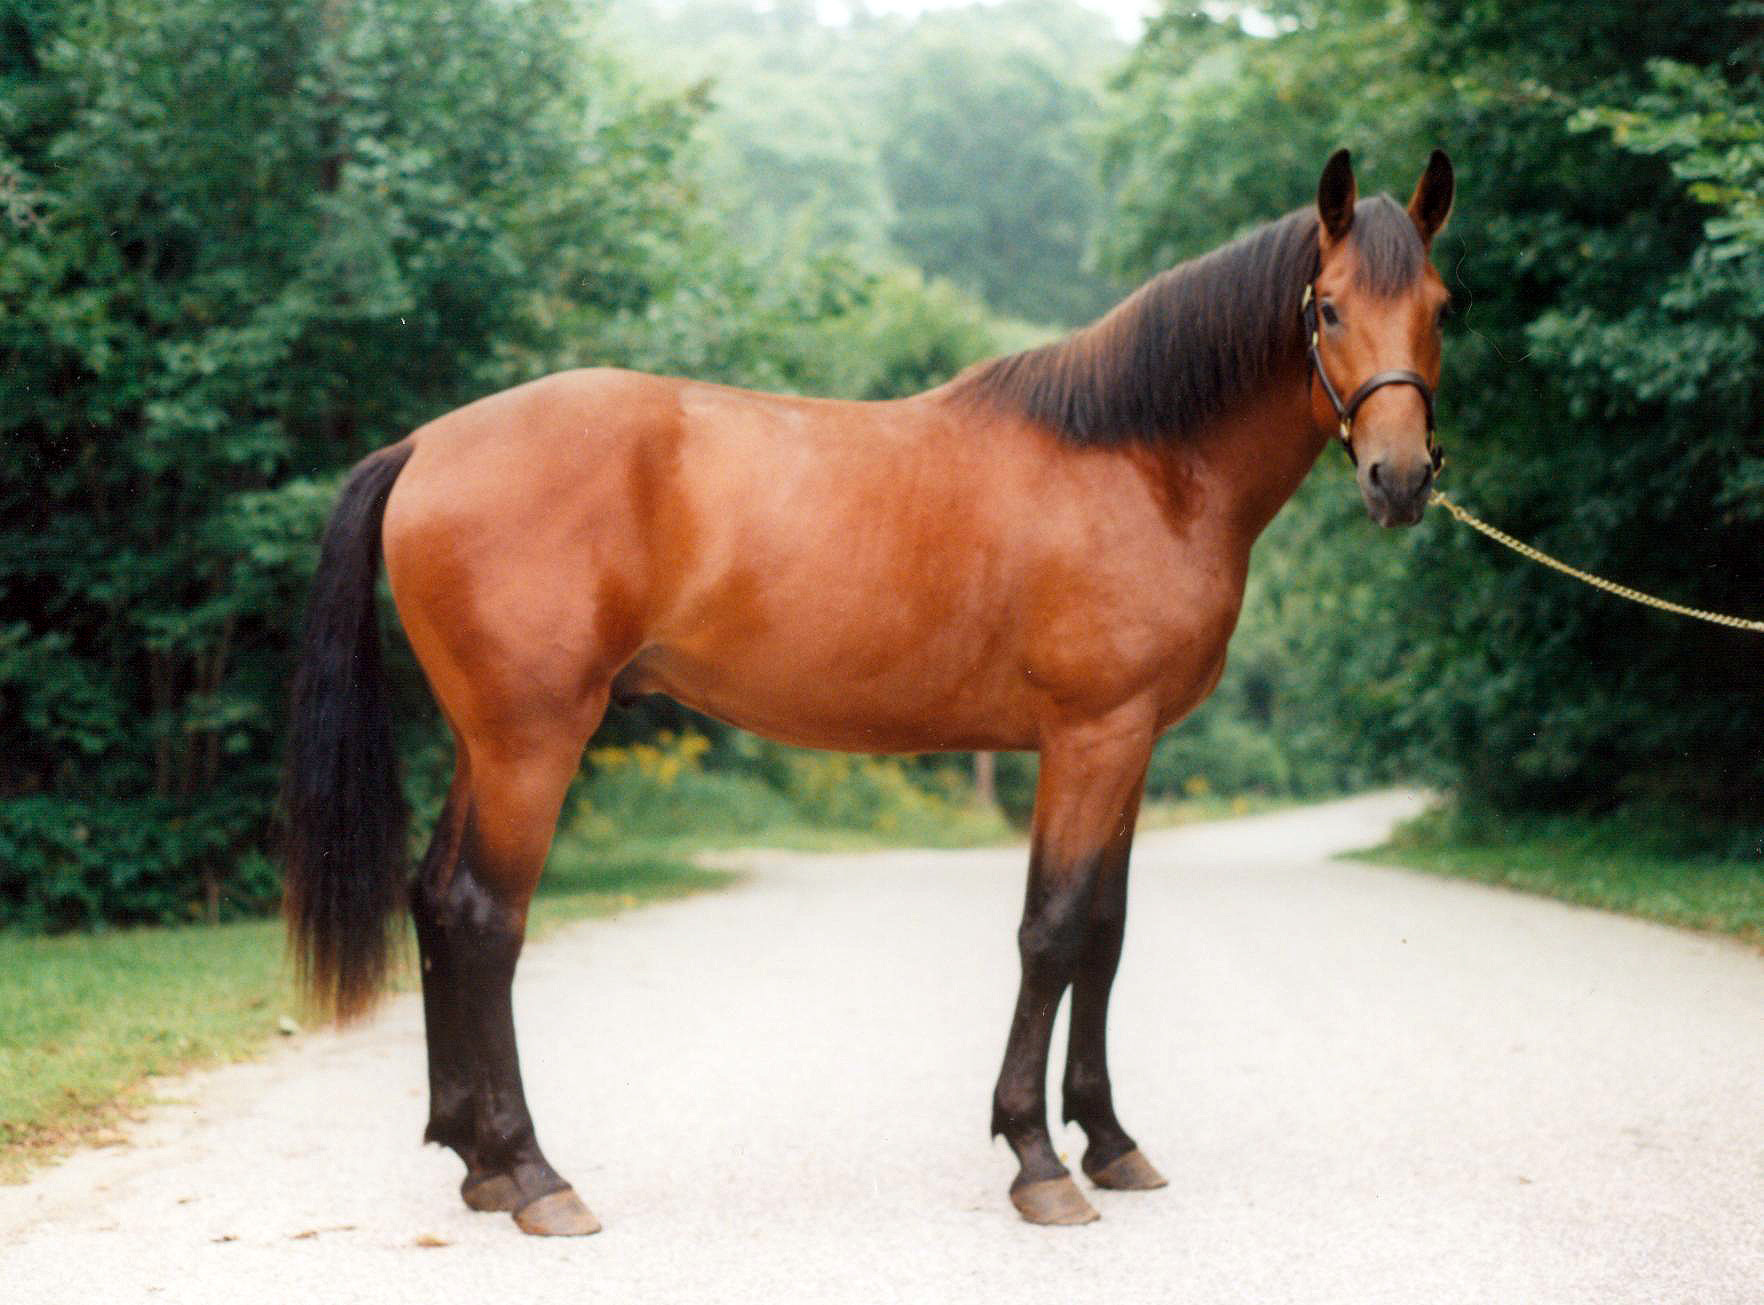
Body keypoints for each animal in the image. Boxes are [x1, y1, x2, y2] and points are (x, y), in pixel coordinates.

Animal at [281, 147, 1456, 1235]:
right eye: (1330, 306)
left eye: (1443, 306)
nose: (1400, 479)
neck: (1140, 461)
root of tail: (426, 444)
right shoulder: (1090, 738)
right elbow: (1052, 932)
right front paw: (1038, 1159)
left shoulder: (1134, 745)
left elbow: (1106, 933)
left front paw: (1112, 1141)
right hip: (532, 740)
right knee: (486, 918)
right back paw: (534, 1174)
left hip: (484, 740)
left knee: (436, 900)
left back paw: (475, 1160)